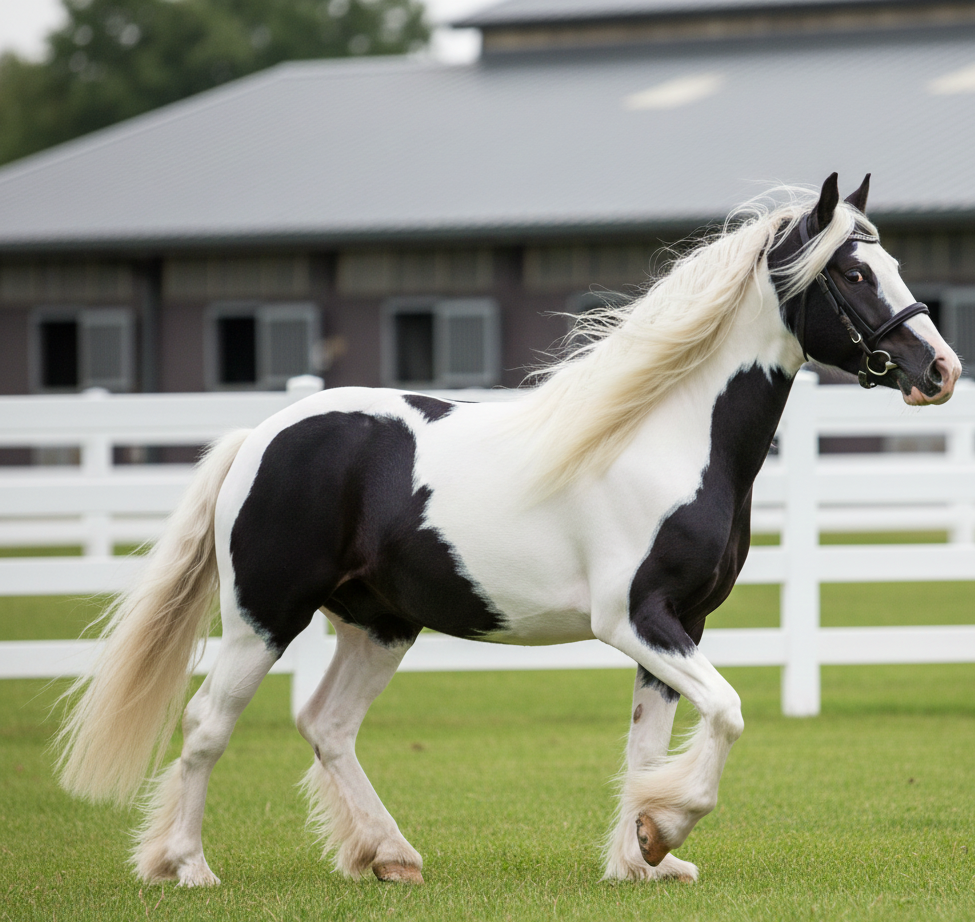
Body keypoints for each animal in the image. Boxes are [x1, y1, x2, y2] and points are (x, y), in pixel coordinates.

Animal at [56, 173, 962, 887]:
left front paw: (641, 857)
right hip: (262, 617)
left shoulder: (680, 625)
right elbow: (729, 714)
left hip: (380, 624)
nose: (940, 370)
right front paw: (662, 831)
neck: (666, 438)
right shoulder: (636, 619)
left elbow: (647, 746)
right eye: (853, 271)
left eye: (891, 265)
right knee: (208, 725)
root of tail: (261, 436)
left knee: (327, 726)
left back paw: (389, 857)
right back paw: (187, 868)